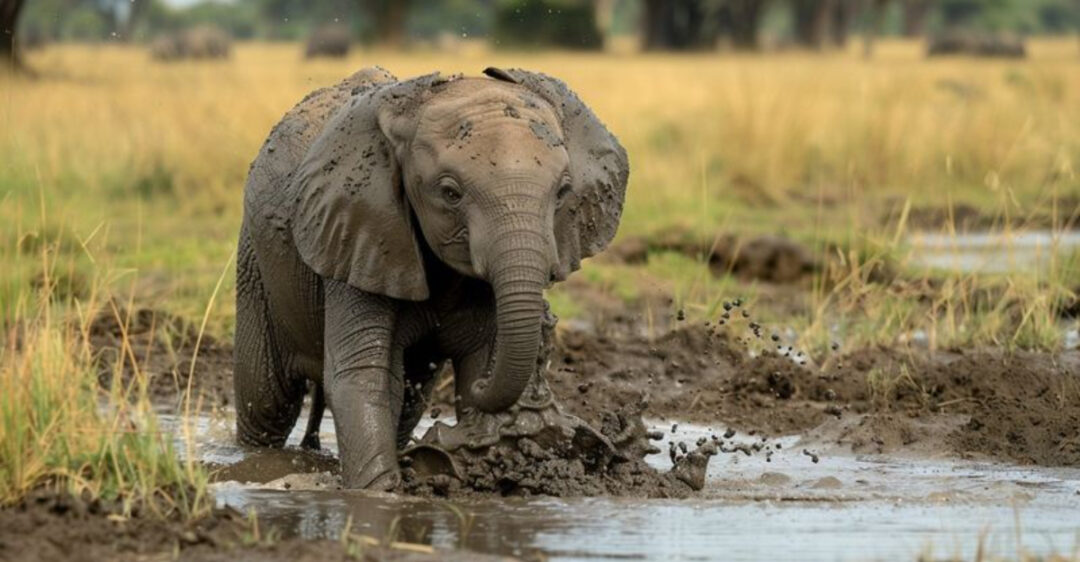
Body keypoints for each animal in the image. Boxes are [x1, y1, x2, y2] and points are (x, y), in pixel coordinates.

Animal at [234, 66, 629, 490]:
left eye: (563, 191)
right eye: (450, 193)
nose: (548, 320)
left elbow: (477, 363)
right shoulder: (358, 235)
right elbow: (361, 377)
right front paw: (382, 493)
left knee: (406, 402)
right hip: (255, 264)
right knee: (267, 403)